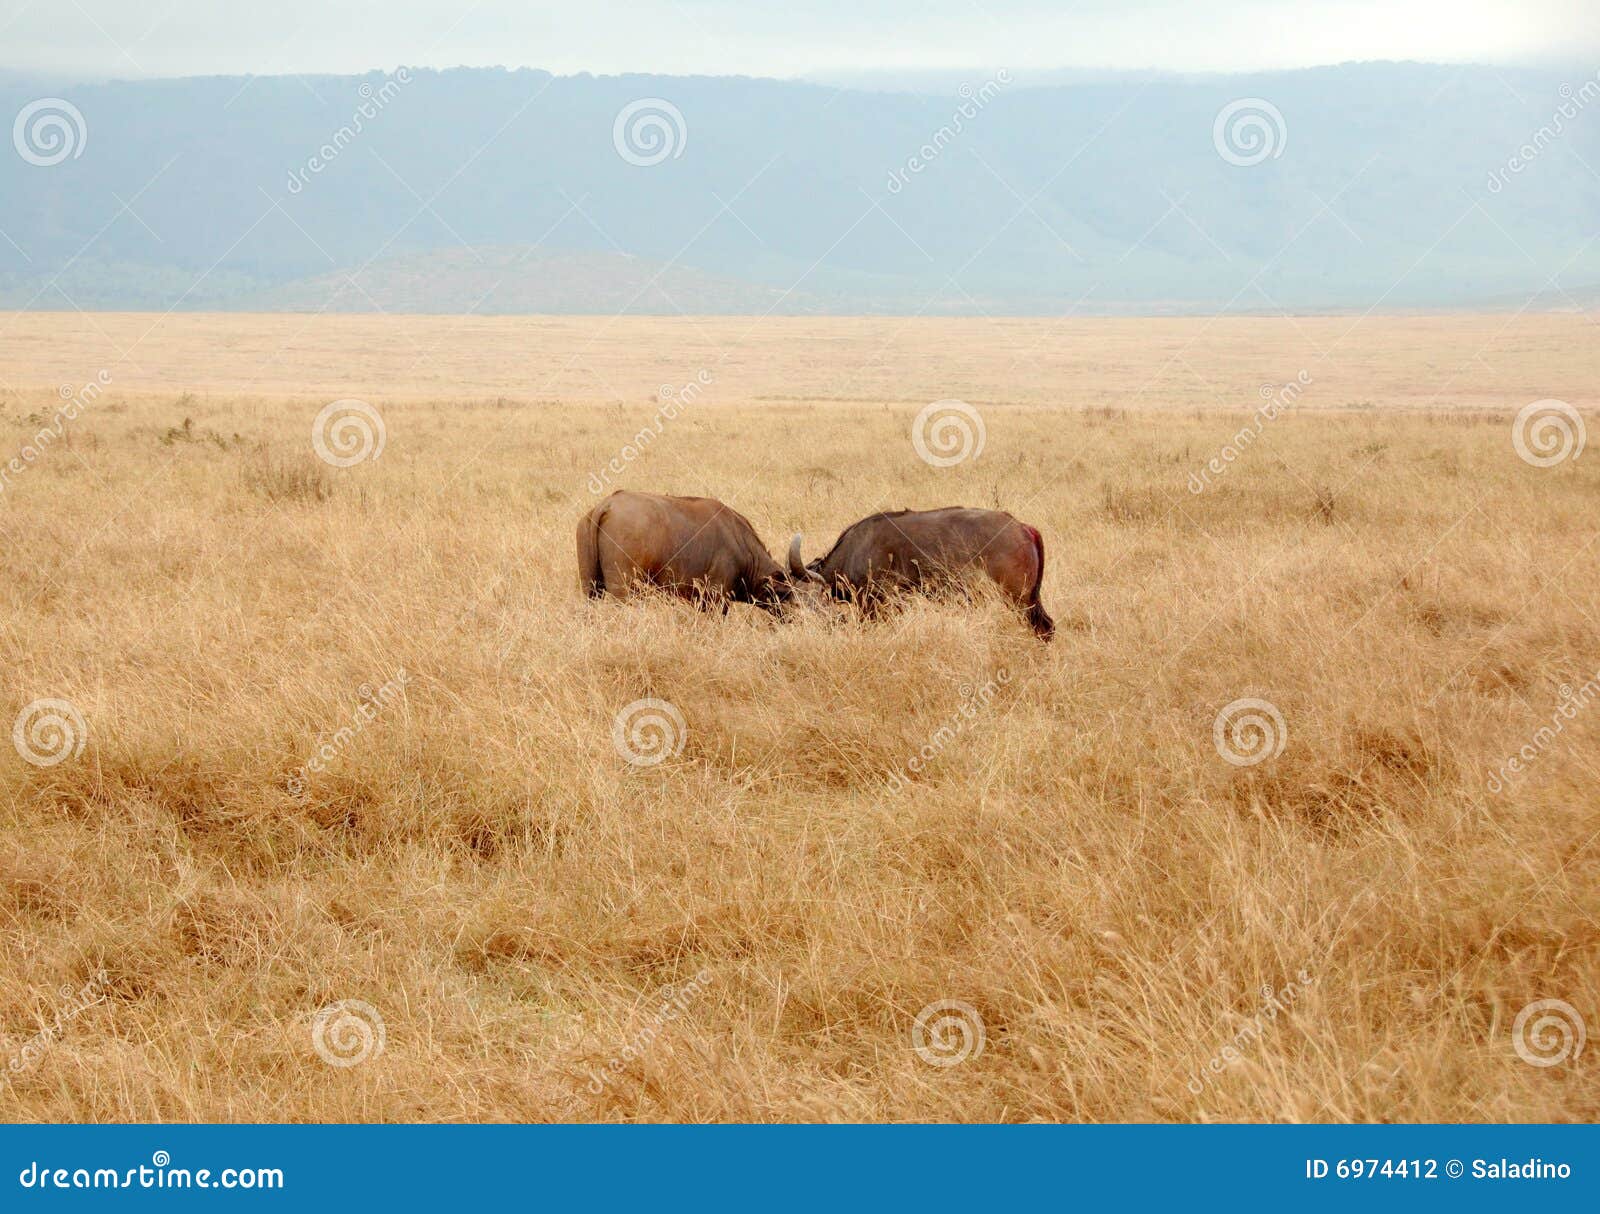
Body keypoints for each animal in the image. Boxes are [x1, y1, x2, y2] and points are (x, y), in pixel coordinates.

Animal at [577, 490, 795, 610]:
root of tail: (607, 506)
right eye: (786, 593)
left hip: (590, 588)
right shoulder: (717, 598)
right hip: (622, 590)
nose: (796, 617)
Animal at [788, 507, 1054, 639]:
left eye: (802, 599)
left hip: (1018, 601)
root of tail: (1021, 527)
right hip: (1031, 601)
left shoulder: (874, 606)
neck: (856, 549)